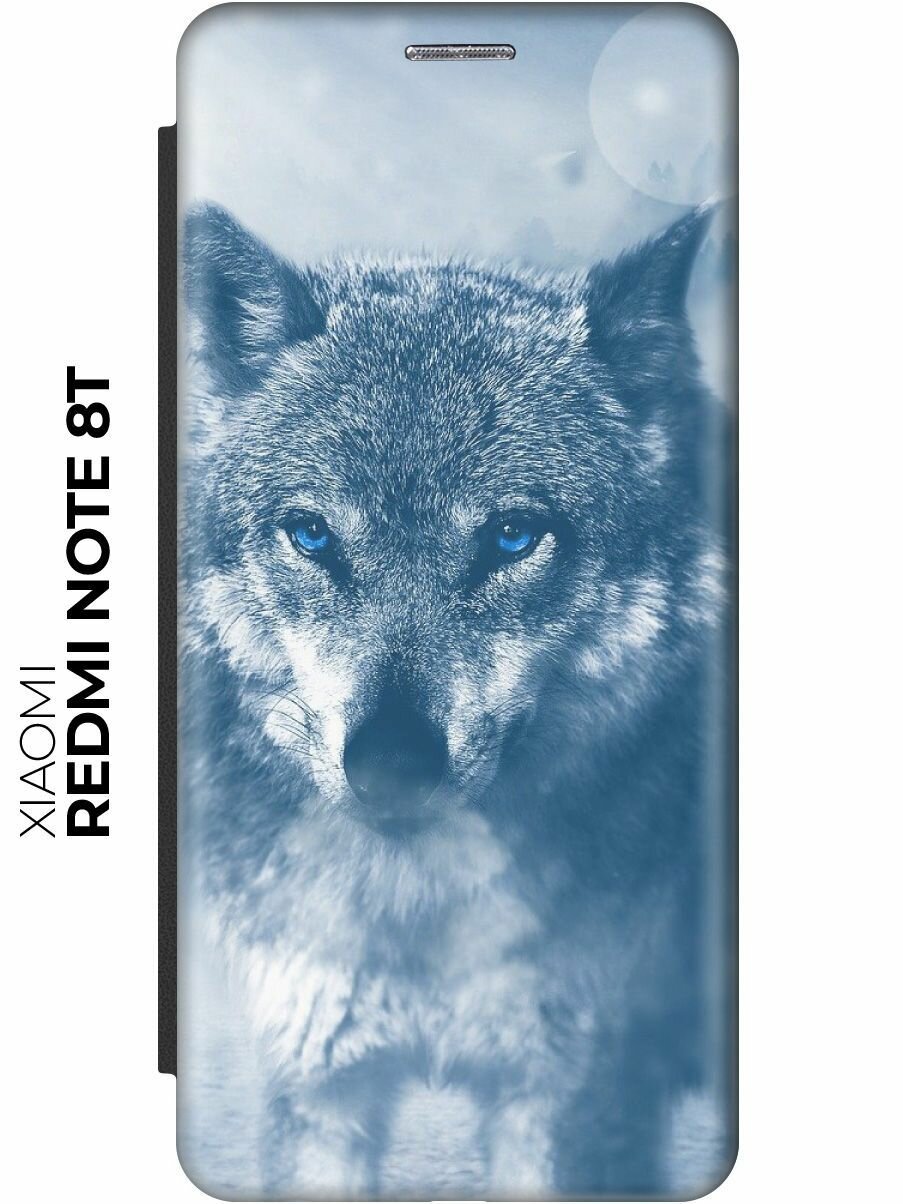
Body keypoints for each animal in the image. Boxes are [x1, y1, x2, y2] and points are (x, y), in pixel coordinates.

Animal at [179, 202, 734, 1199]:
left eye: (512, 536)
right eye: (312, 535)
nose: (392, 764)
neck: (416, 914)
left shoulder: (572, 1099)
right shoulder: (321, 1087)